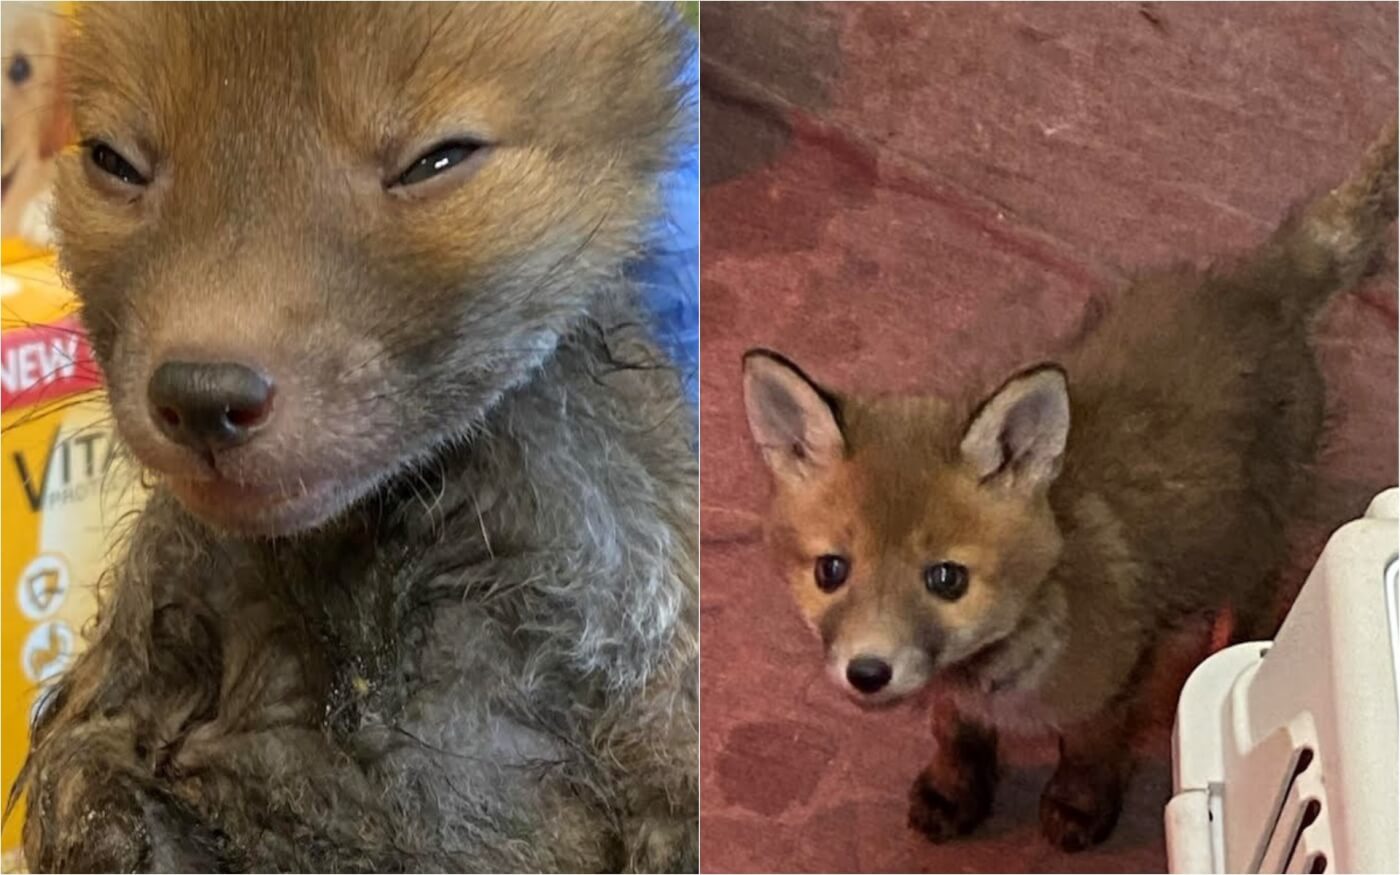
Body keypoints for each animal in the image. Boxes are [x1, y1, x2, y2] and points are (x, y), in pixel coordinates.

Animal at [741, 120, 1397, 852]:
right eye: (831, 570)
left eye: (945, 579)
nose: (867, 671)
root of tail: (1254, 285)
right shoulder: (957, 701)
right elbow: (956, 733)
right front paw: (954, 789)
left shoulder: (1111, 683)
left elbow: (1088, 748)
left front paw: (1082, 806)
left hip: (1252, 532)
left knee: (1257, 586)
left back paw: (1219, 650)